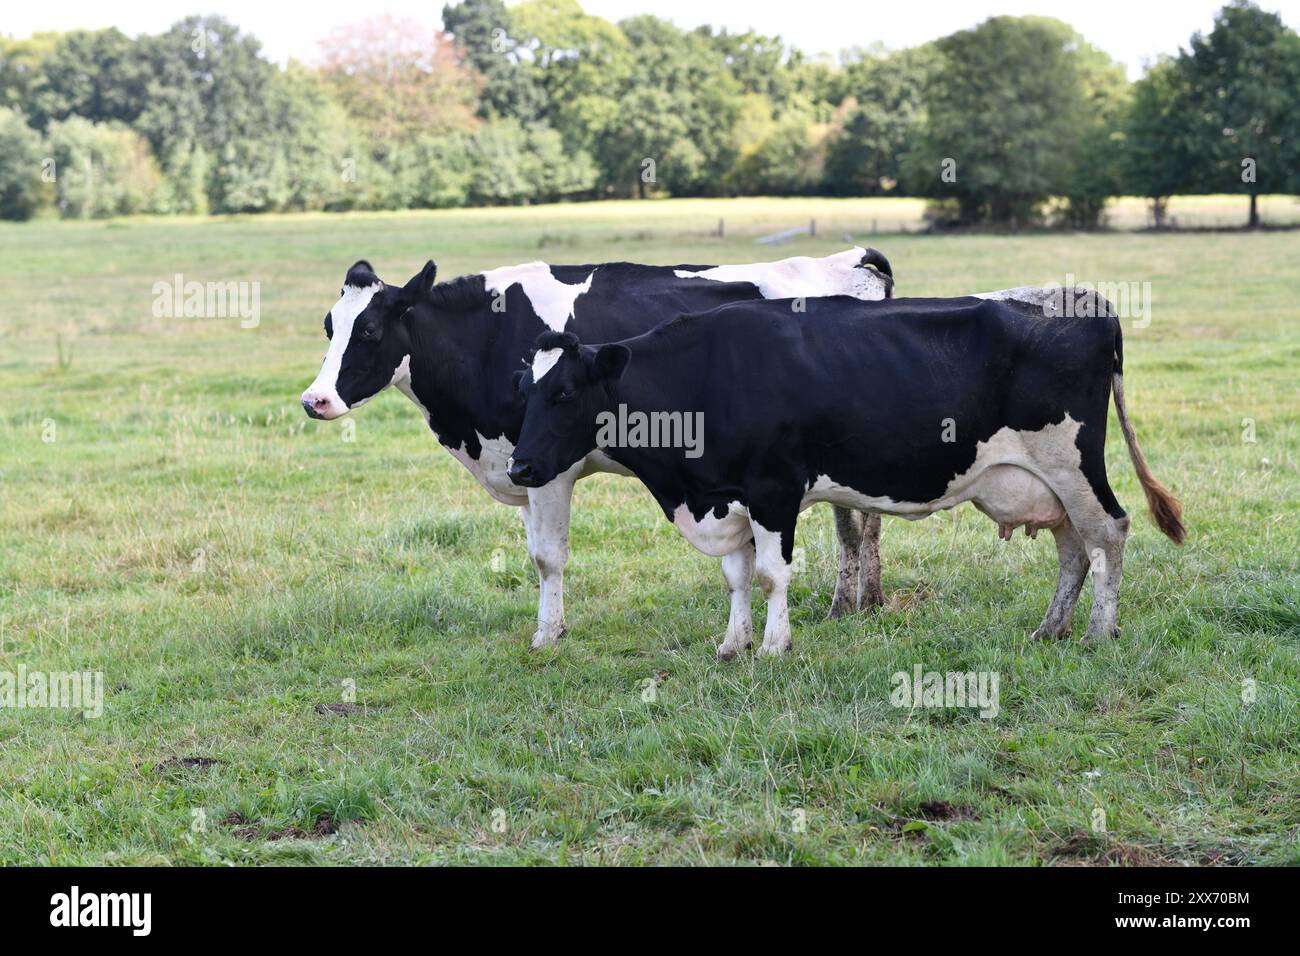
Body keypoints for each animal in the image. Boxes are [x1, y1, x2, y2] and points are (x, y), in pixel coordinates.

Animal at [300, 249, 895, 648]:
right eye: (329, 326)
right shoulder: (521, 466)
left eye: (370, 331)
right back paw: (859, 604)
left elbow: (548, 556)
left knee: (858, 521)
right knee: (859, 520)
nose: (314, 399)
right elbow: (536, 552)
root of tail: (849, 259)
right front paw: (552, 626)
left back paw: (853, 604)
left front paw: (546, 636)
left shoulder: (547, 465)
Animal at [506, 295, 1186, 658]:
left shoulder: (773, 489)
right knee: (1074, 548)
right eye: (524, 391)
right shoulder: (729, 497)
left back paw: (1098, 631)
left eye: (565, 392)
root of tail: (1088, 305)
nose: (520, 465)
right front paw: (733, 643)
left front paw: (773, 646)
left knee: (1109, 533)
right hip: (1049, 482)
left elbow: (772, 573)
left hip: (1073, 463)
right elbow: (737, 576)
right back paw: (1050, 628)